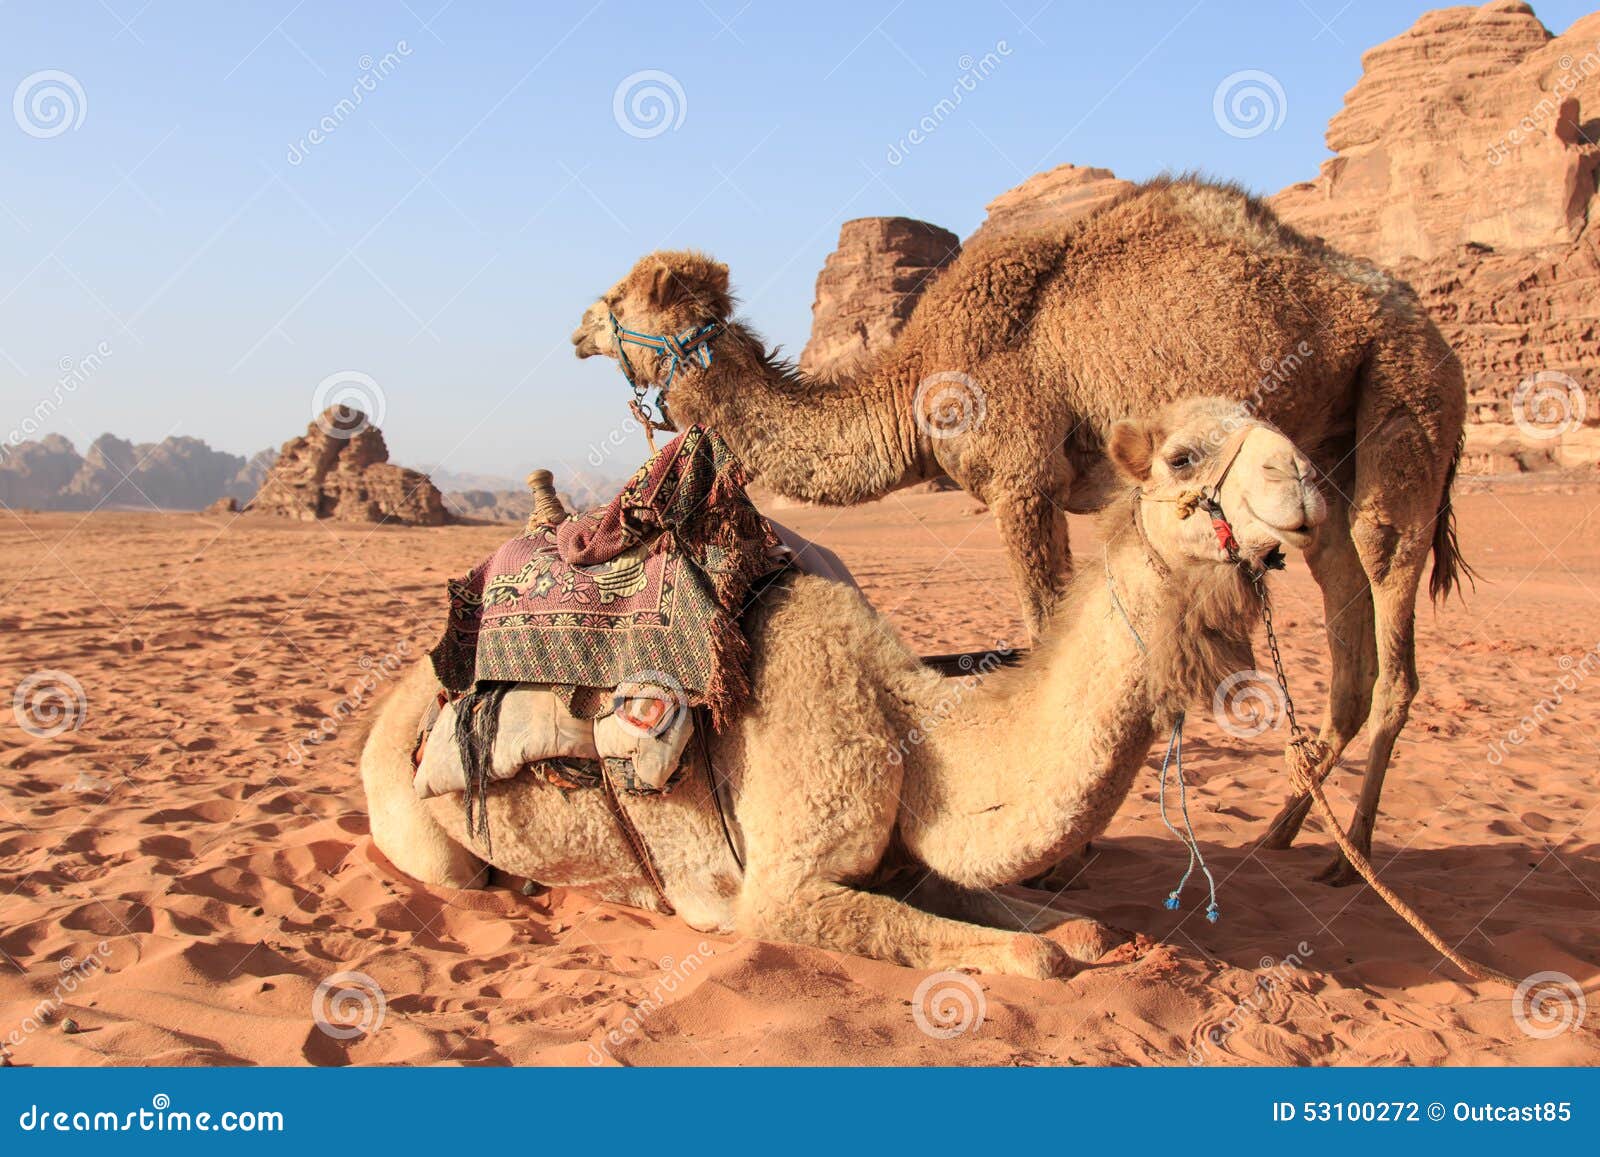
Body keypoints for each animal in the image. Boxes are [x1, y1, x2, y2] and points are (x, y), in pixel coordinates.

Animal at [361, 401, 1327, 977]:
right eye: (1183, 455)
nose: (1306, 477)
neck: (908, 730)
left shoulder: (913, 858)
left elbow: (1078, 930)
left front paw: (1090, 934)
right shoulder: (782, 895)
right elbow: (1038, 958)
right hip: (419, 826)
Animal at [569, 176, 1470, 885]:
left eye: (618, 299)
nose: (576, 329)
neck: (910, 388)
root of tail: (1428, 326)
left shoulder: (1021, 480)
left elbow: (1041, 627)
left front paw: (1066, 857)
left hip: (1408, 400)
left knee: (1393, 635)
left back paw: (1350, 855)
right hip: (1323, 476)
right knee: (1350, 645)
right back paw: (1287, 831)